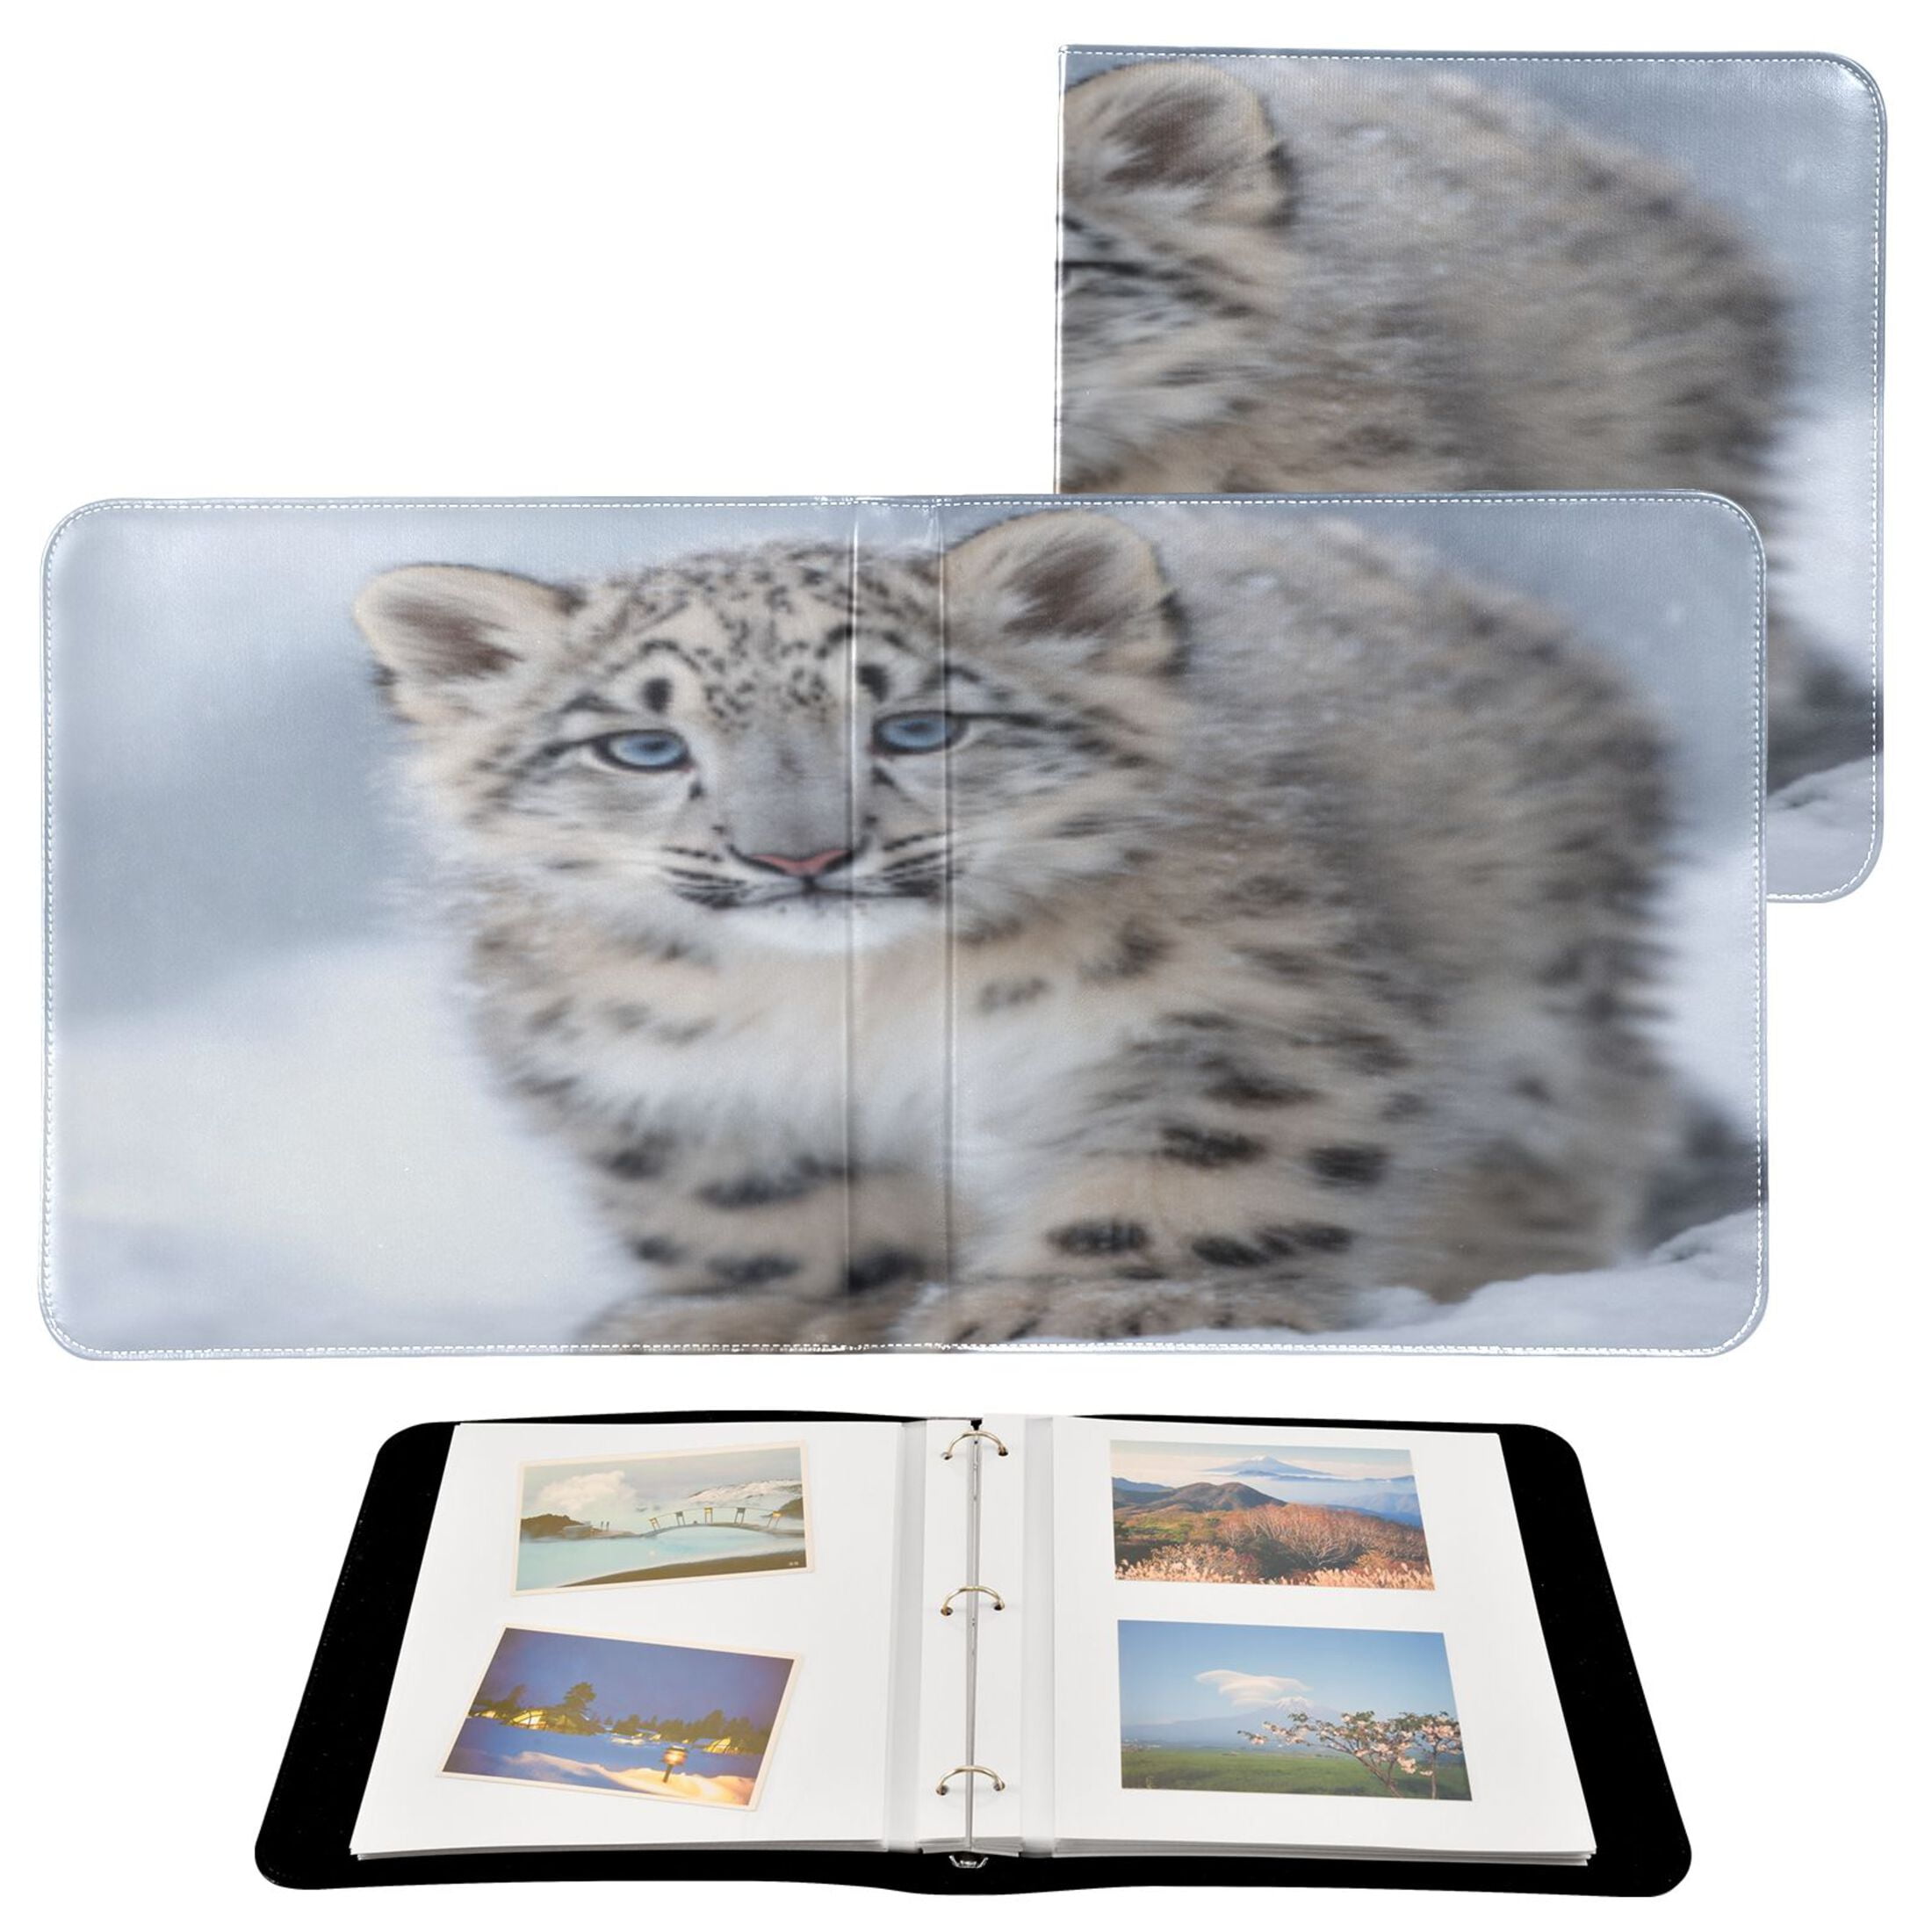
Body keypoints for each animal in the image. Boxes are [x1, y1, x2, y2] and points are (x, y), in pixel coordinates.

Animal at [355, 506, 1674, 1346]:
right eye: (644, 745)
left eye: (915, 728)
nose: (798, 855)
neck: (861, 1001)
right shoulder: (647, 1068)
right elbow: (756, 1204)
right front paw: (773, 1315)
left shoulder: (1258, 1008)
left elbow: (1206, 1160)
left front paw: (1082, 1302)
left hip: (1546, 990)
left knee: (1560, 1138)